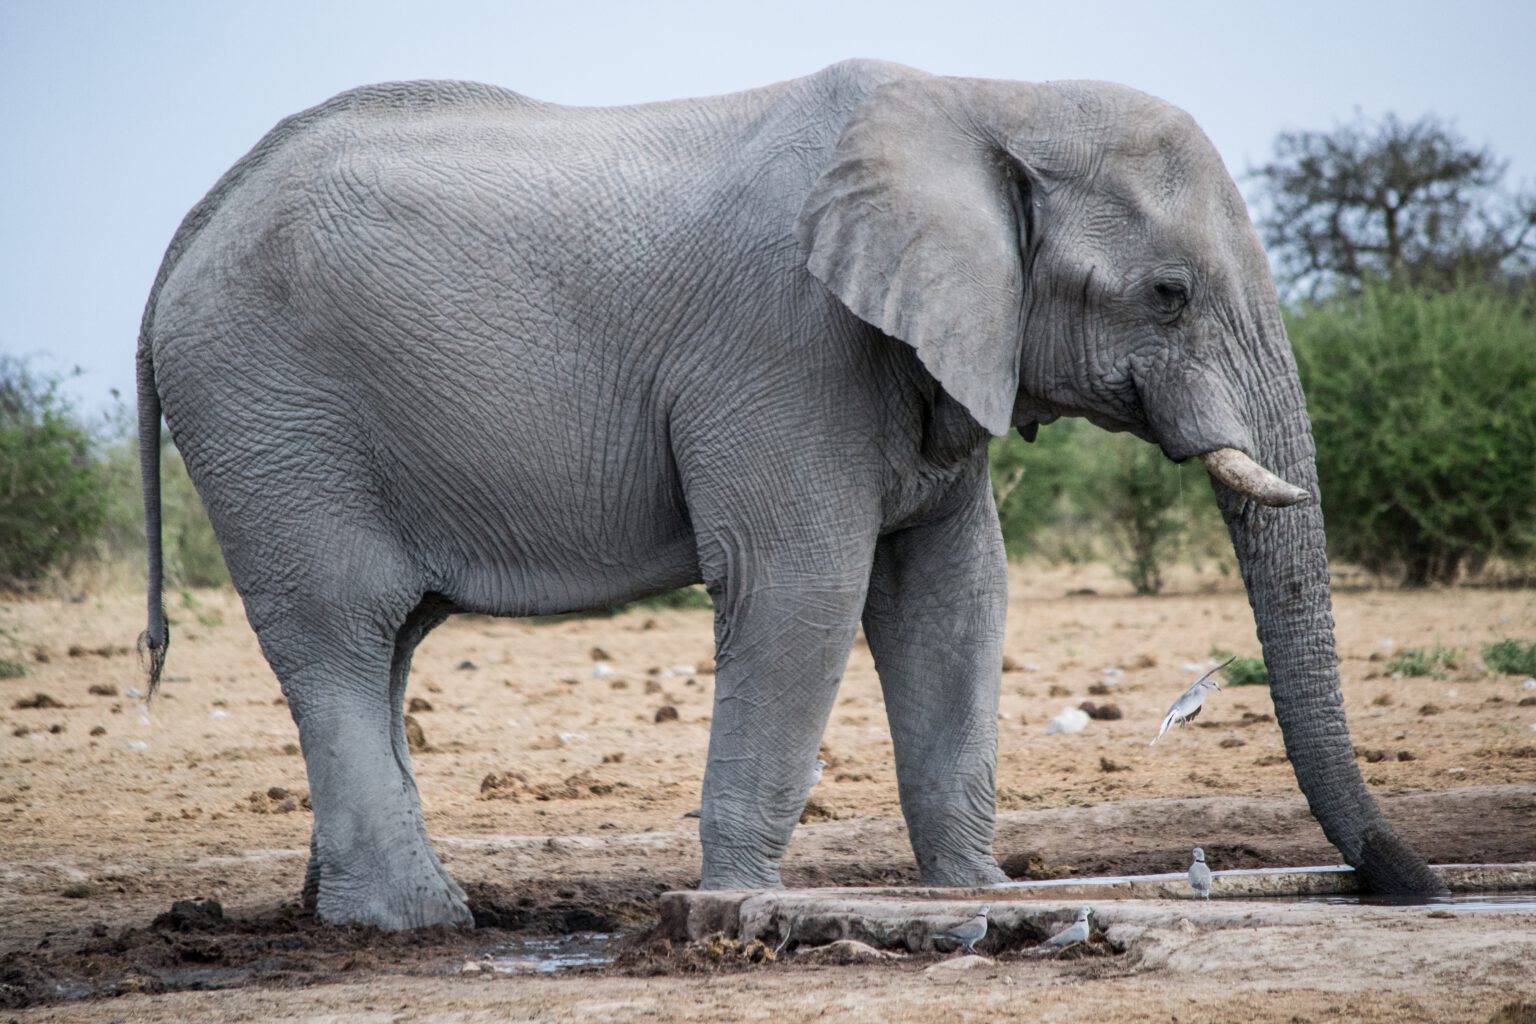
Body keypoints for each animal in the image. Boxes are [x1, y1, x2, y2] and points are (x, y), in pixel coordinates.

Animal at [136, 59, 1444, 929]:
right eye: (1169, 294)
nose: (1414, 882)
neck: (989, 98)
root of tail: (185, 235)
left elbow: (956, 594)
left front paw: (973, 892)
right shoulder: (784, 345)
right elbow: (803, 584)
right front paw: (736, 905)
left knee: (388, 644)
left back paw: (339, 911)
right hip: (272, 418)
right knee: (342, 634)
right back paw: (415, 921)